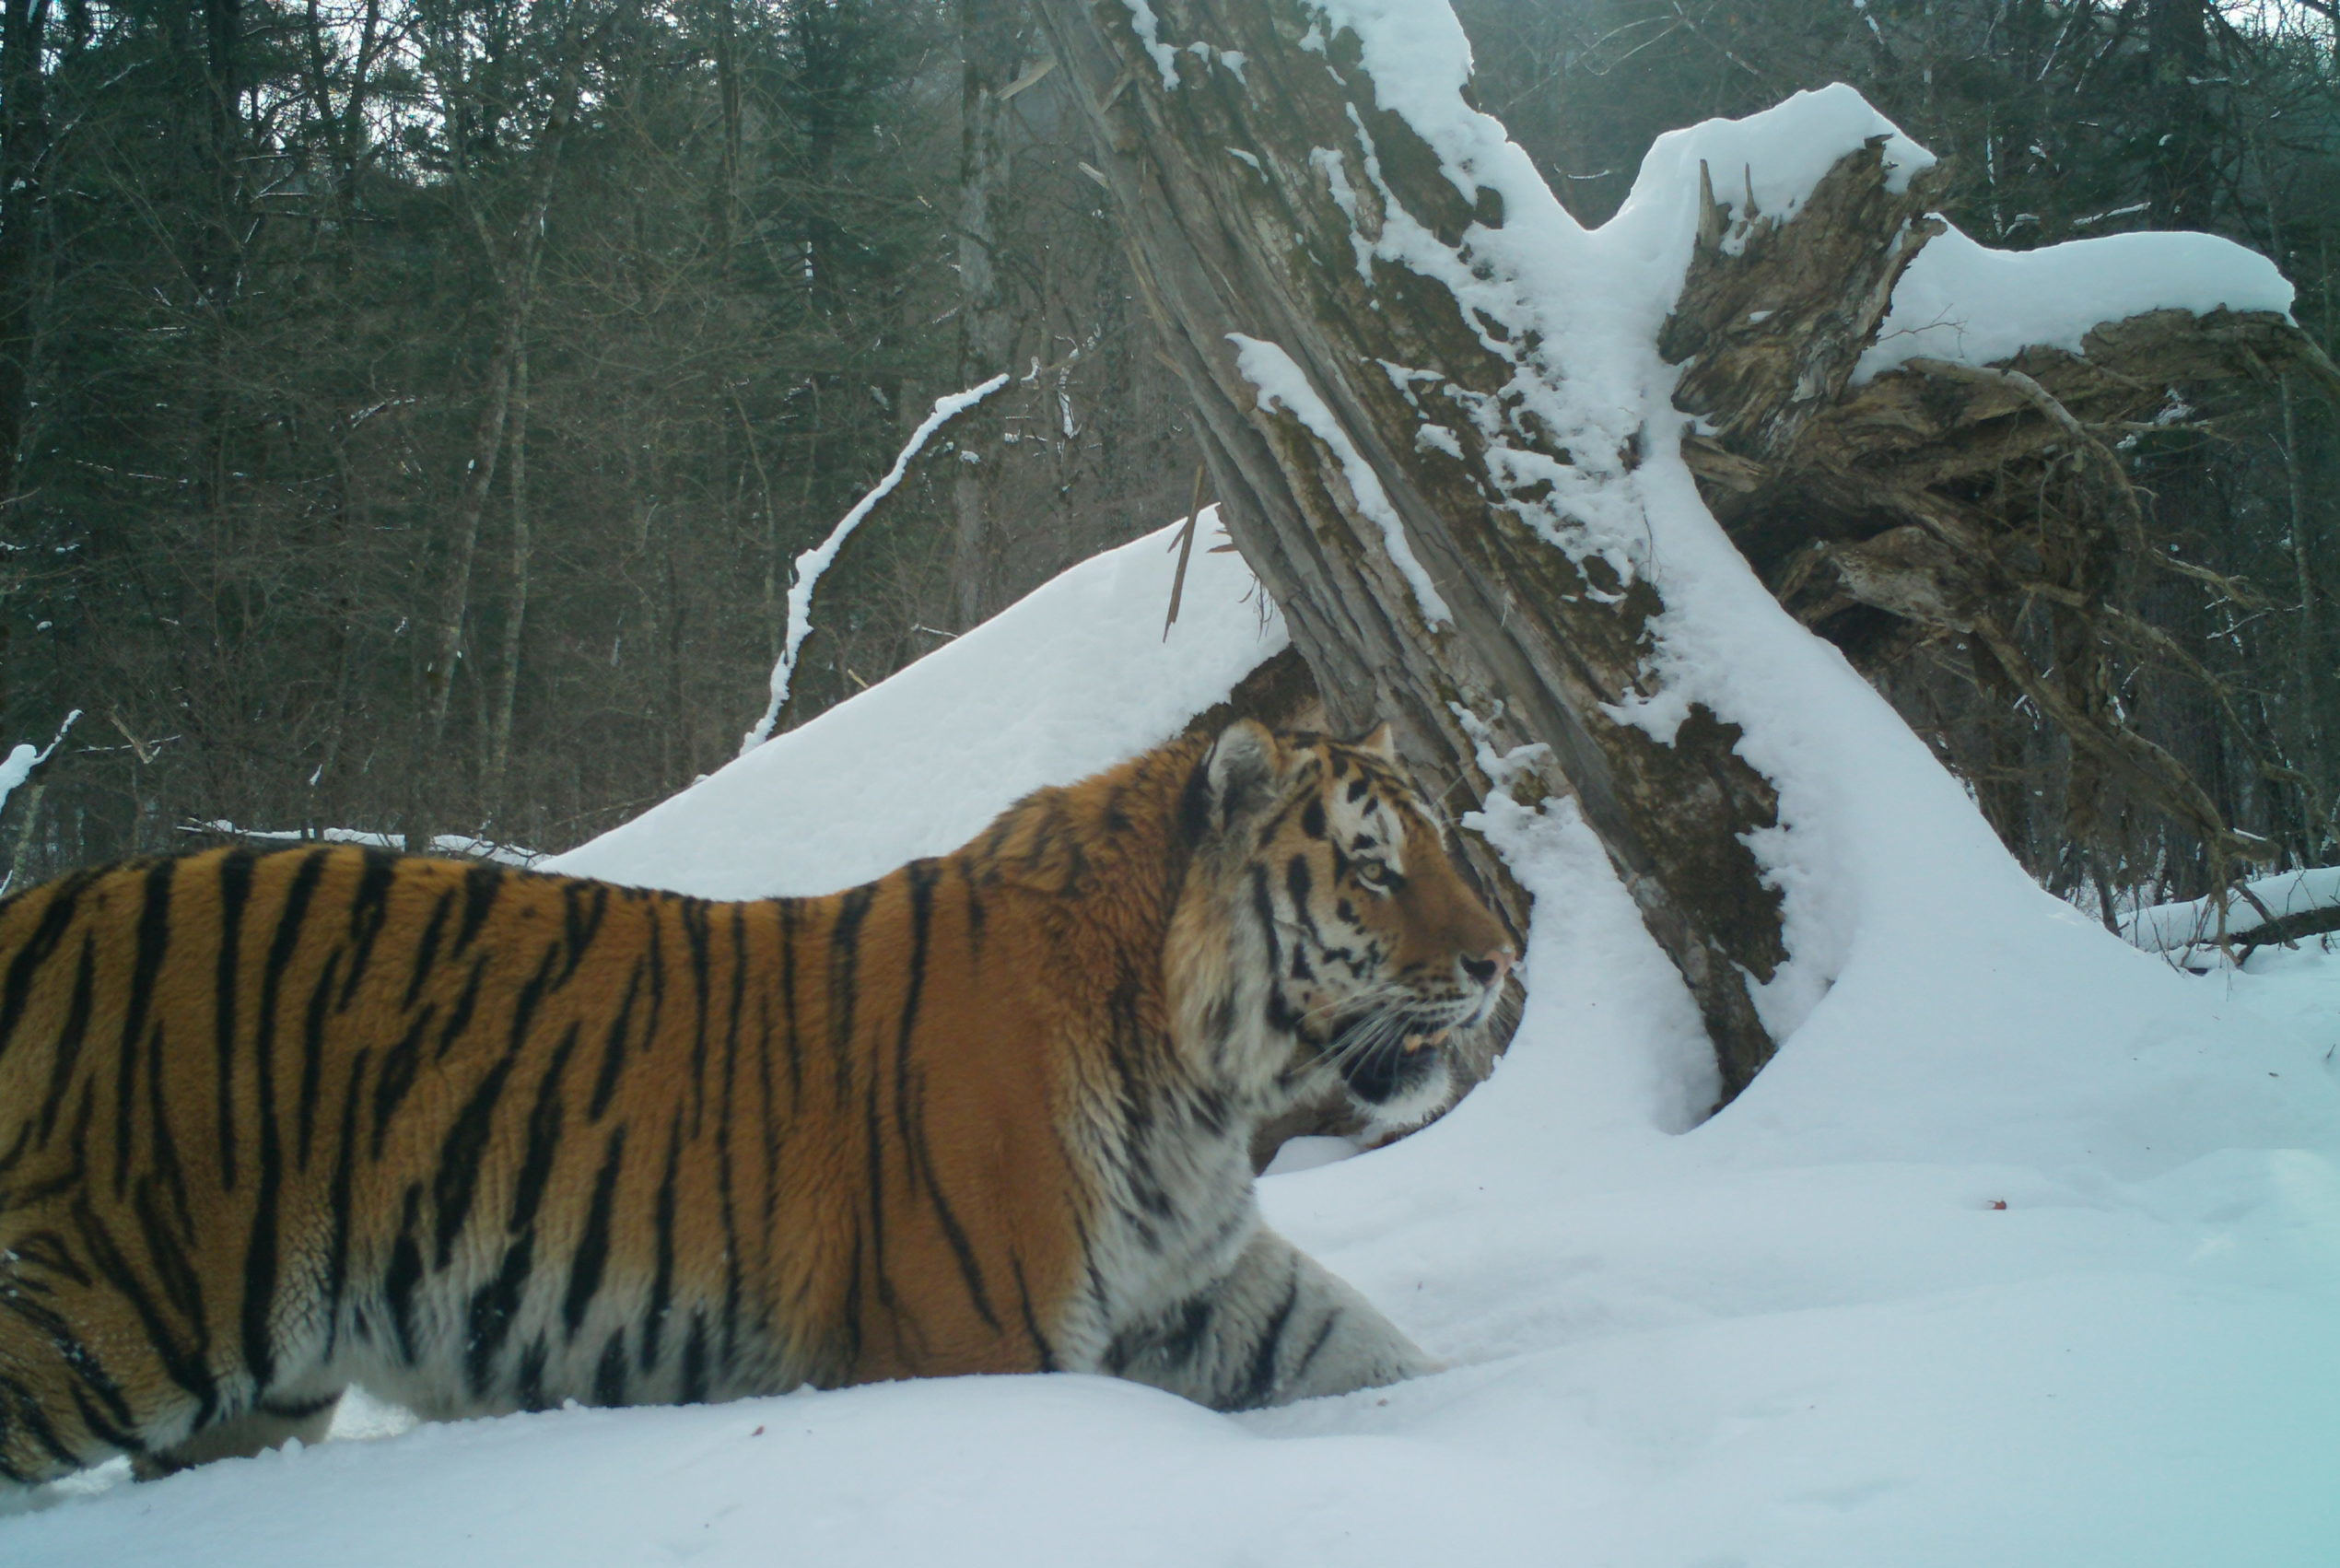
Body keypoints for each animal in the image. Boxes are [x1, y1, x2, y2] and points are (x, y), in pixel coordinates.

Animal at [0, 719, 1513, 1486]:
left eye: (1438, 841)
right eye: (1373, 867)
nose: (1502, 956)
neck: (1198, 1086)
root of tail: (41, 909)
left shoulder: (1192, 1282)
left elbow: (1361, 1347)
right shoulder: (967, 1335)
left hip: (260, 1381)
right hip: (110, 1314)